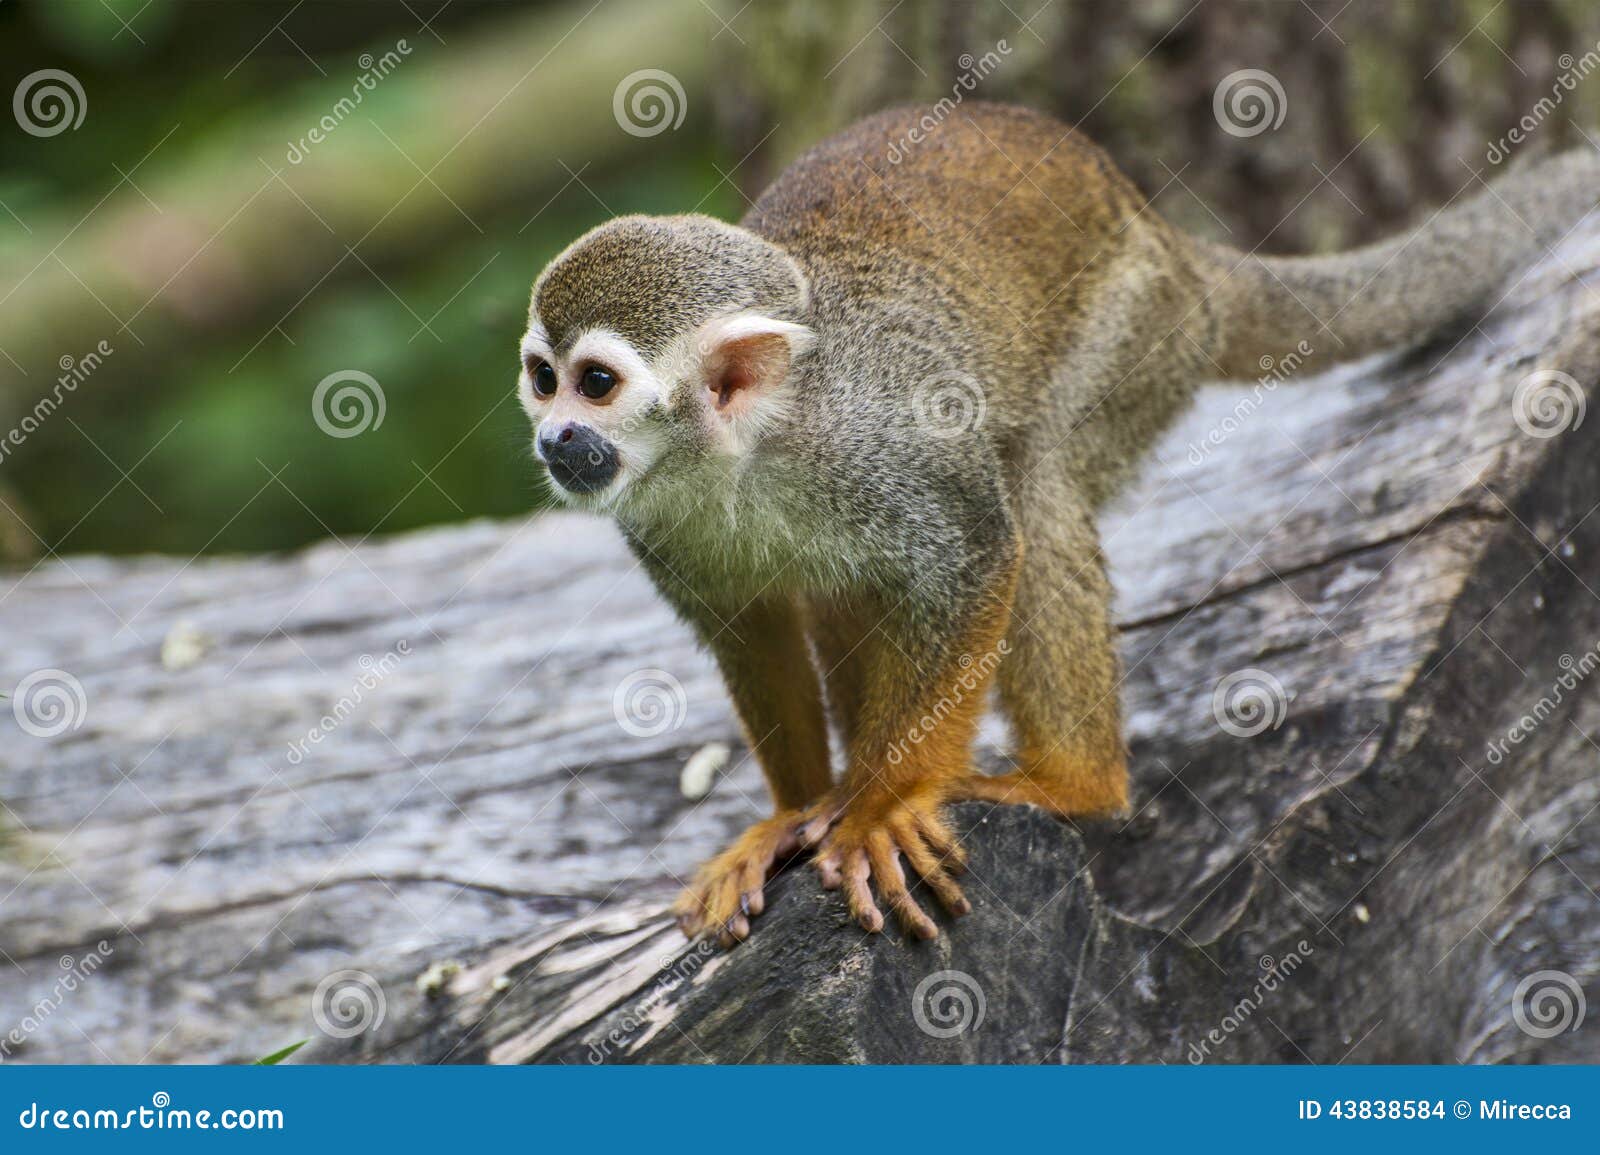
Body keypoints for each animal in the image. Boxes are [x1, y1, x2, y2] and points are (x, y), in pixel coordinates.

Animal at [517, 103, 1600, 946]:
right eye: (541, 375)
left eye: (597, 383)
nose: (554, 434)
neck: (744, 450)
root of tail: (1165, 237)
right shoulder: (660, 519)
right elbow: (755, 629)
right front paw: (795, 814)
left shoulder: (884, 446)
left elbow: (977, 556)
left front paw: (881, 809)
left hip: (1138, 336)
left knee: (1033, 489)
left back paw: (1073, 786)